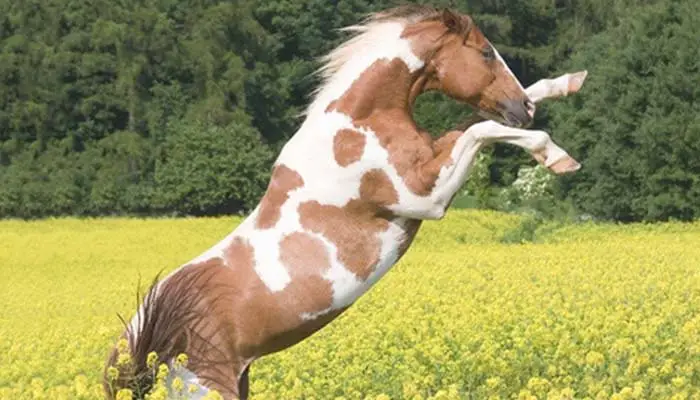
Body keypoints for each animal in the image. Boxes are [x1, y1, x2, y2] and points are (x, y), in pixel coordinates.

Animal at [104, 6, 585, 399]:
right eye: (485, 53)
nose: (522, 109)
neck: (359, 124)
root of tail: (143, 332)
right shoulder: (425, 195)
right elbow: (481, 129)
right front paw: (557, 156)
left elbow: (477, 123)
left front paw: (567, 83)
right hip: (205, 386)